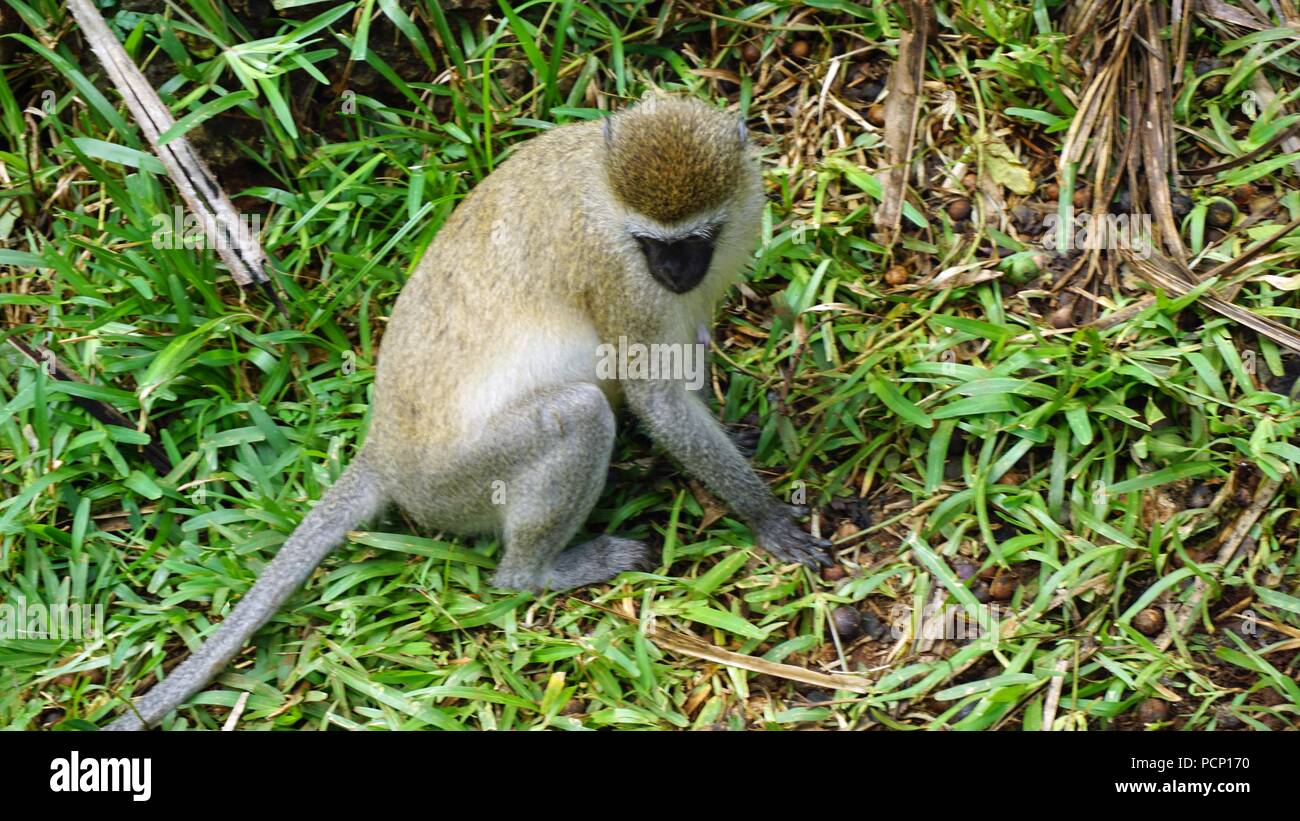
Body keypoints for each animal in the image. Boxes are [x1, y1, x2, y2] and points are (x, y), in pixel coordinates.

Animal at [104, 95, 830, 731]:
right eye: (652, 242)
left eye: (697, 237)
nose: (677, 273)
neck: (599, 186)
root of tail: (384, 455)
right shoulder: (626, 278)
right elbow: (656, 394)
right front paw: (766, 514)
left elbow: (688, 356)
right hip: (456, 485)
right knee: (578, 421)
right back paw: (542, 571)